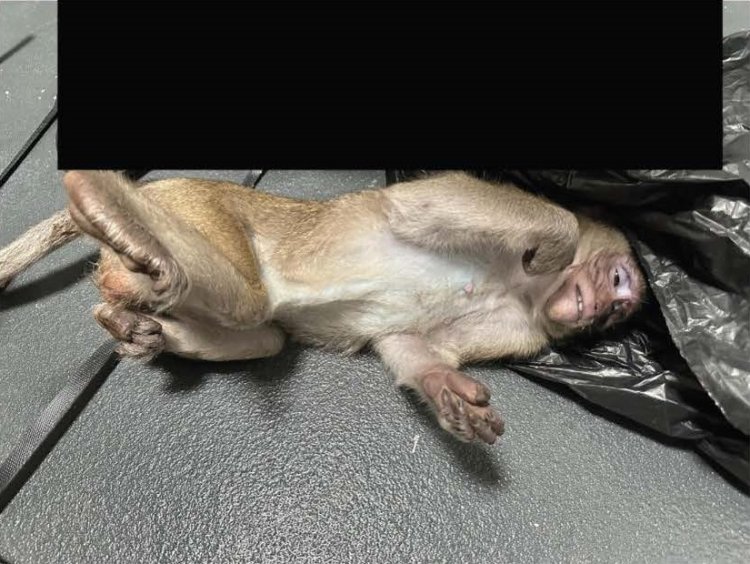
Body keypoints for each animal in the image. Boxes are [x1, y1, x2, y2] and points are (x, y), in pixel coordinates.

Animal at [0, 171, 645, 445]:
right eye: (618, 280)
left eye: (618, 313)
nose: (603, 308)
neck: (522, 290)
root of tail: (151, 191)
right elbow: (426, 204)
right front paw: (555, 242)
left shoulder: (521, 327)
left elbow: (412, 344)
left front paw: (445, 392)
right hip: (196, 203)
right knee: (250, 299)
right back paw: (125, 225)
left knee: (266, 334)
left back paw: (126, 313)